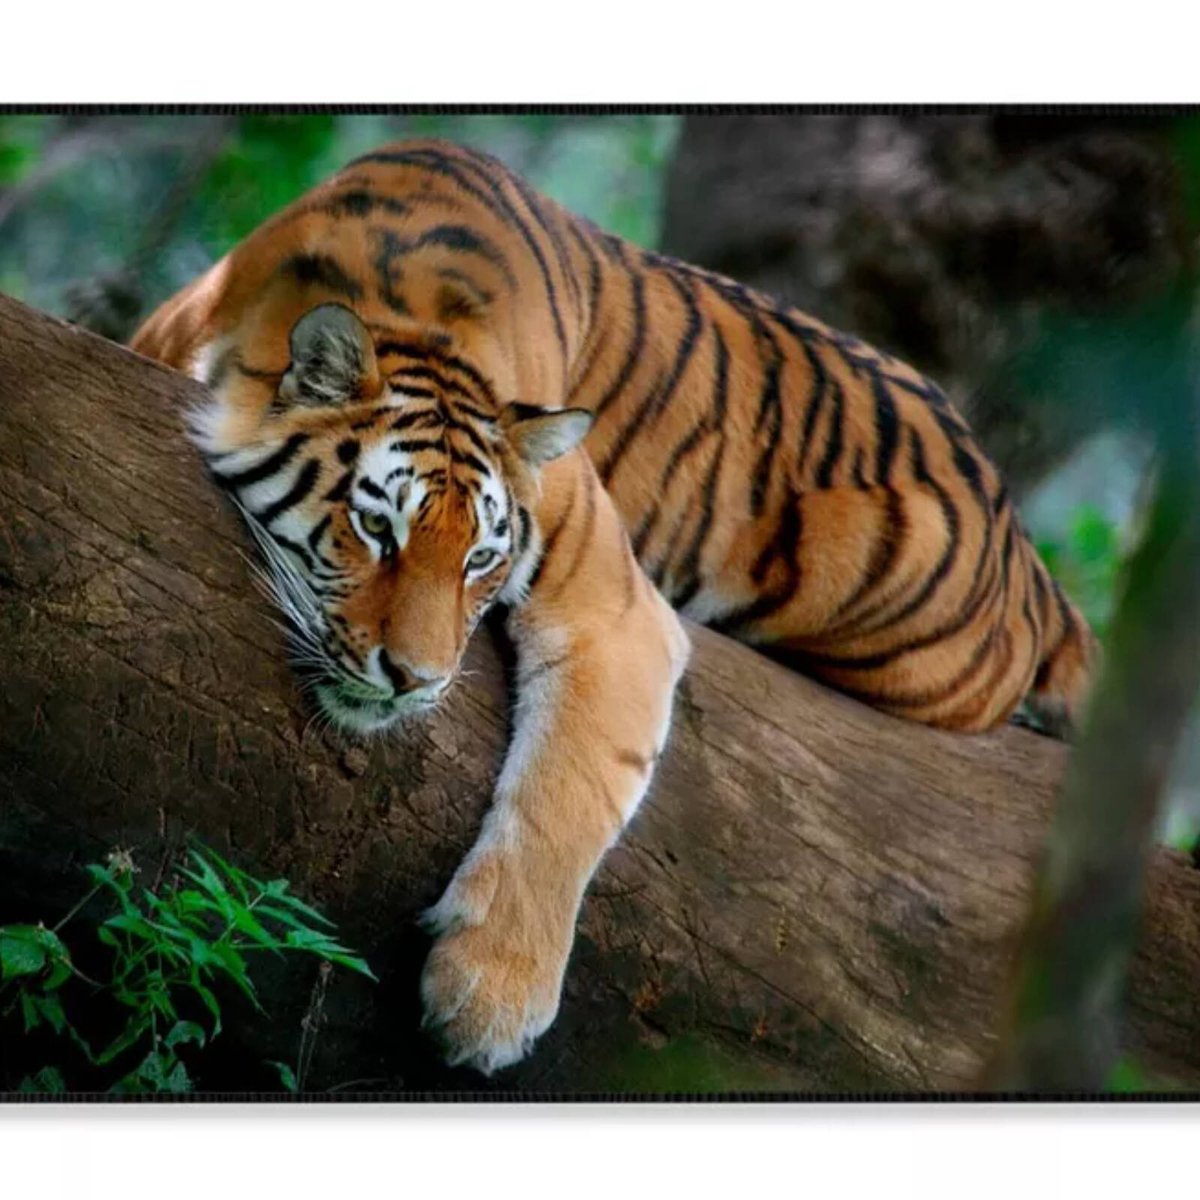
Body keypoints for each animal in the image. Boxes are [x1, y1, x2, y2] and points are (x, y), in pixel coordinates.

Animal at [131, 137, 1095, 1074]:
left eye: (480, 558)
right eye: (376, 528)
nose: (415, 680)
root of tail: (1022, 544)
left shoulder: (614, 609)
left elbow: (569, 789)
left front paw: (489, 1001)